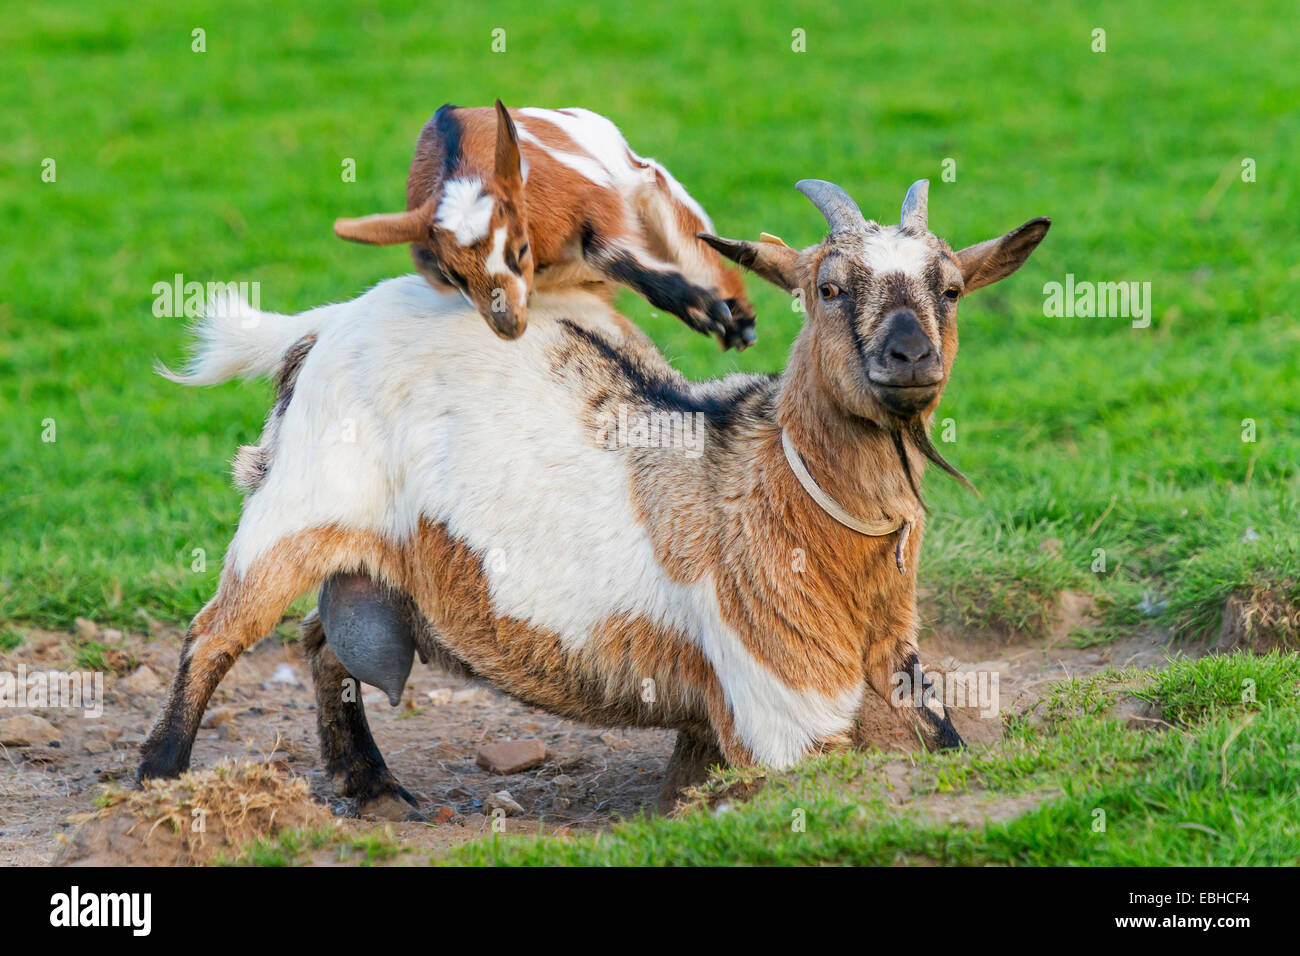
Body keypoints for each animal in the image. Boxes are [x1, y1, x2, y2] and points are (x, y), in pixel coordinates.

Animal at [141, 179, 1049, 816]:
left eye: (951, 288)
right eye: (827, 288)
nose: (909, 354)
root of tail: (322, 322)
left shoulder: (894, 659)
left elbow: (941, 746)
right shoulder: (782, 709)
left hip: (376, 559)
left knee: (324, 642)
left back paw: (374, 789)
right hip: (293, 513)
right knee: (215, 633)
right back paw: (161, 775)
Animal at [334, 100, 757, 350]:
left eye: (519, 251)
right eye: (453, 275)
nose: (509, 325)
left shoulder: (598, 202)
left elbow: (610, 253)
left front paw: (710, 313)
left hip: (647, 182)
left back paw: (738, 321)